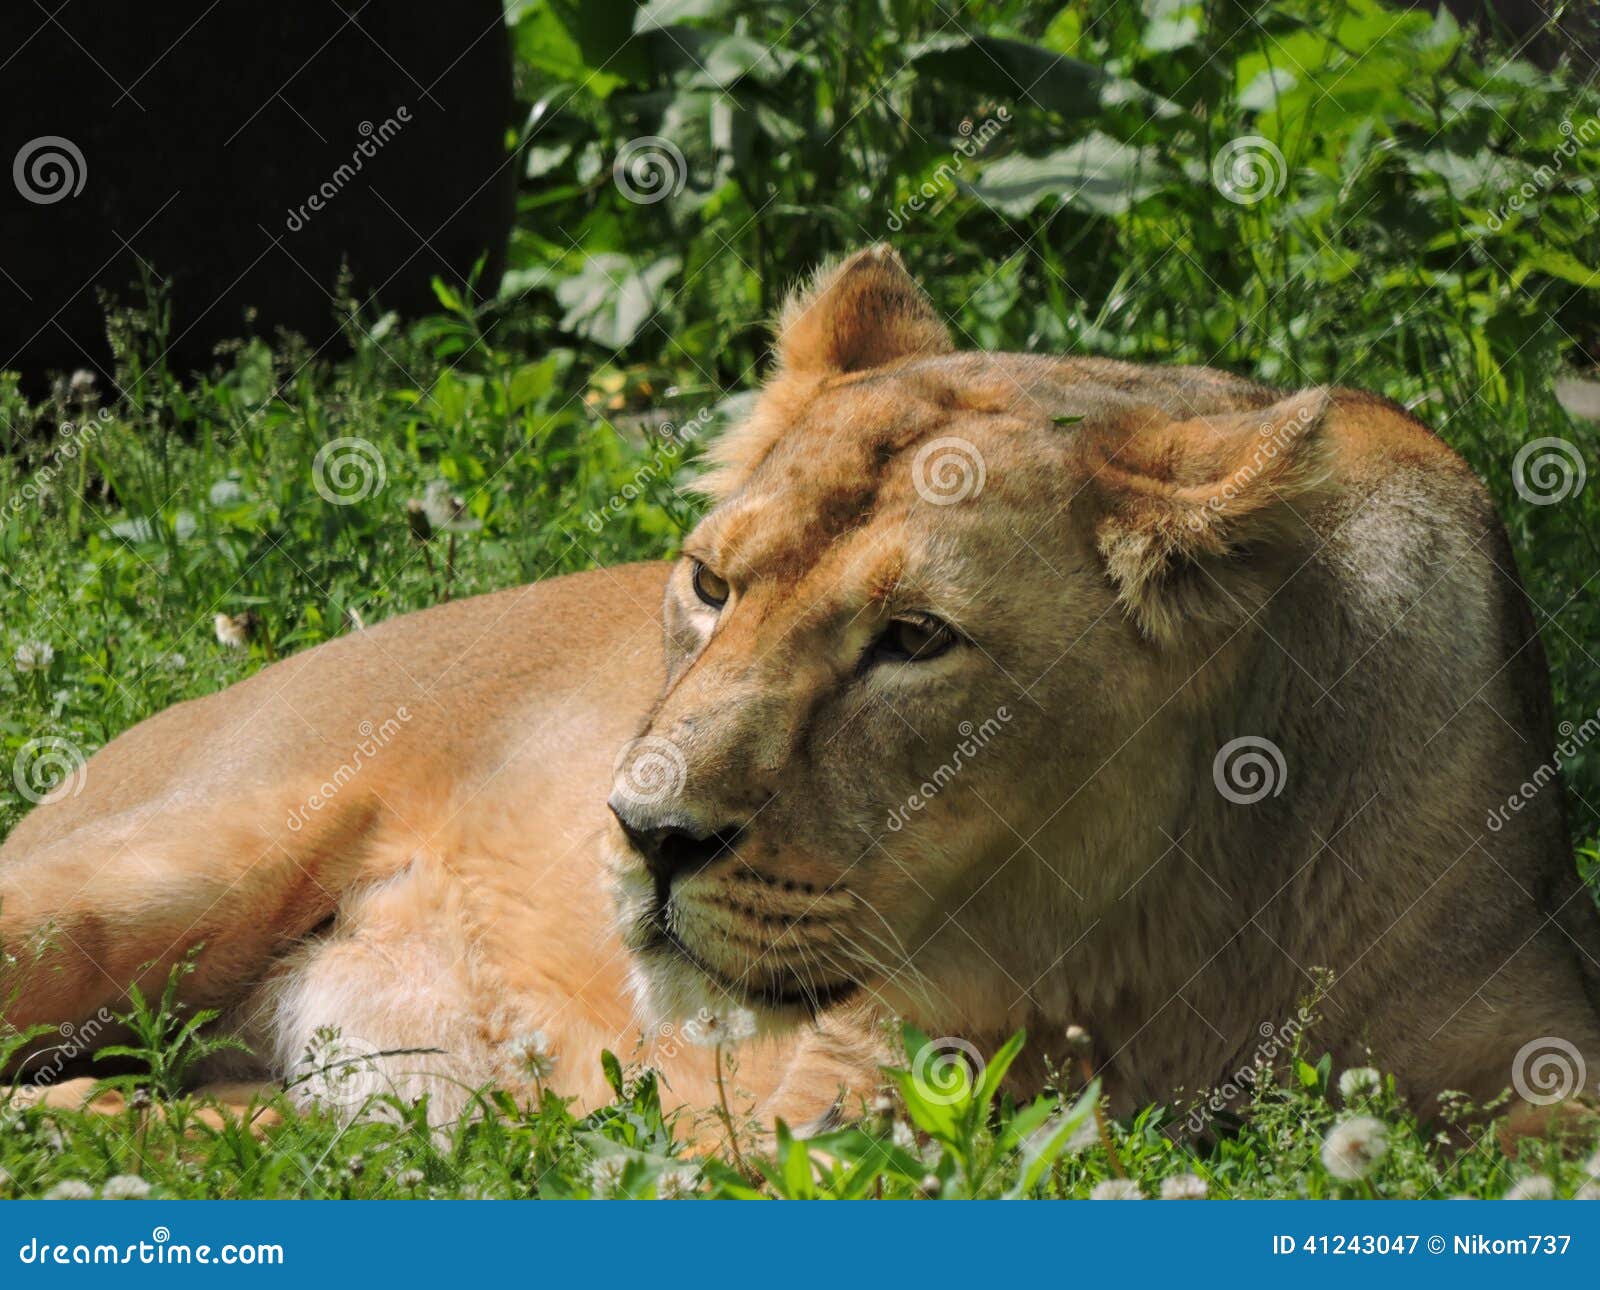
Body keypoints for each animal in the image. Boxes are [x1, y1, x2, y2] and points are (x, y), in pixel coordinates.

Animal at [3, 245, 1598, 1142]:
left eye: (913, 639)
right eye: (712, 584)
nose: (643, 835)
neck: (1181, 945)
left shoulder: (1544, 1050)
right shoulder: (824, 1119)